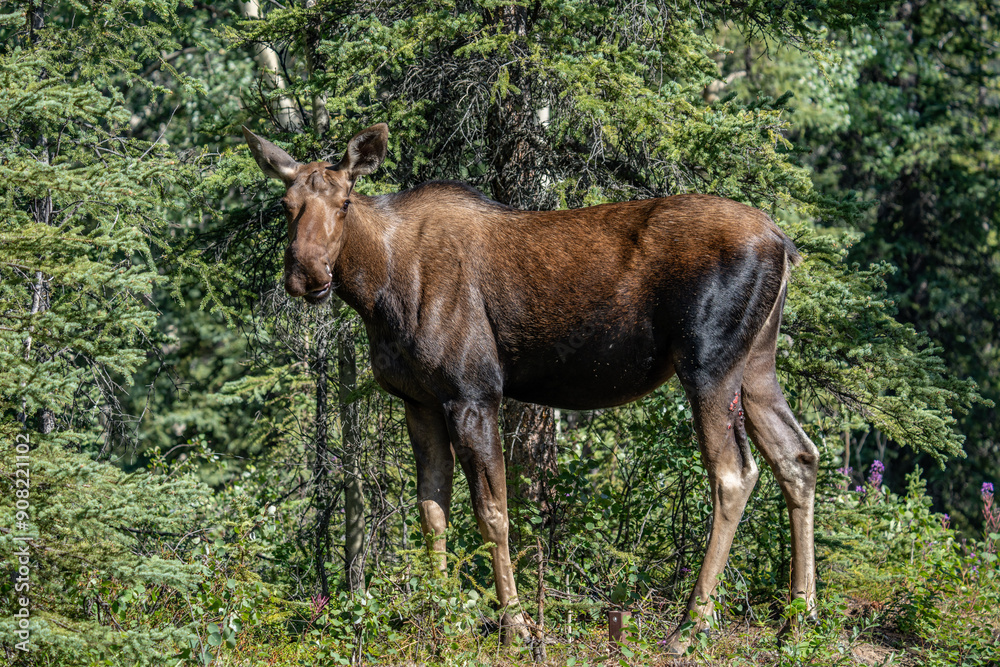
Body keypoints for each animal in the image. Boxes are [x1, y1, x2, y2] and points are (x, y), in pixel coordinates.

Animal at [243, 122, 819, 652]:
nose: (307, 273)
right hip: (757, 364)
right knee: (797, 455)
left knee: (734, 474)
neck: (377, 292)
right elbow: (432, 510)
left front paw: (516, 627)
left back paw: (690, 626)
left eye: (344, 202)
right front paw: (438, 618)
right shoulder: (419, 401)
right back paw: (800, 620)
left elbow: (493, 514)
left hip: (708, 362)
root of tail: (783, 244)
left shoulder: (473, 393)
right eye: (286, 203)